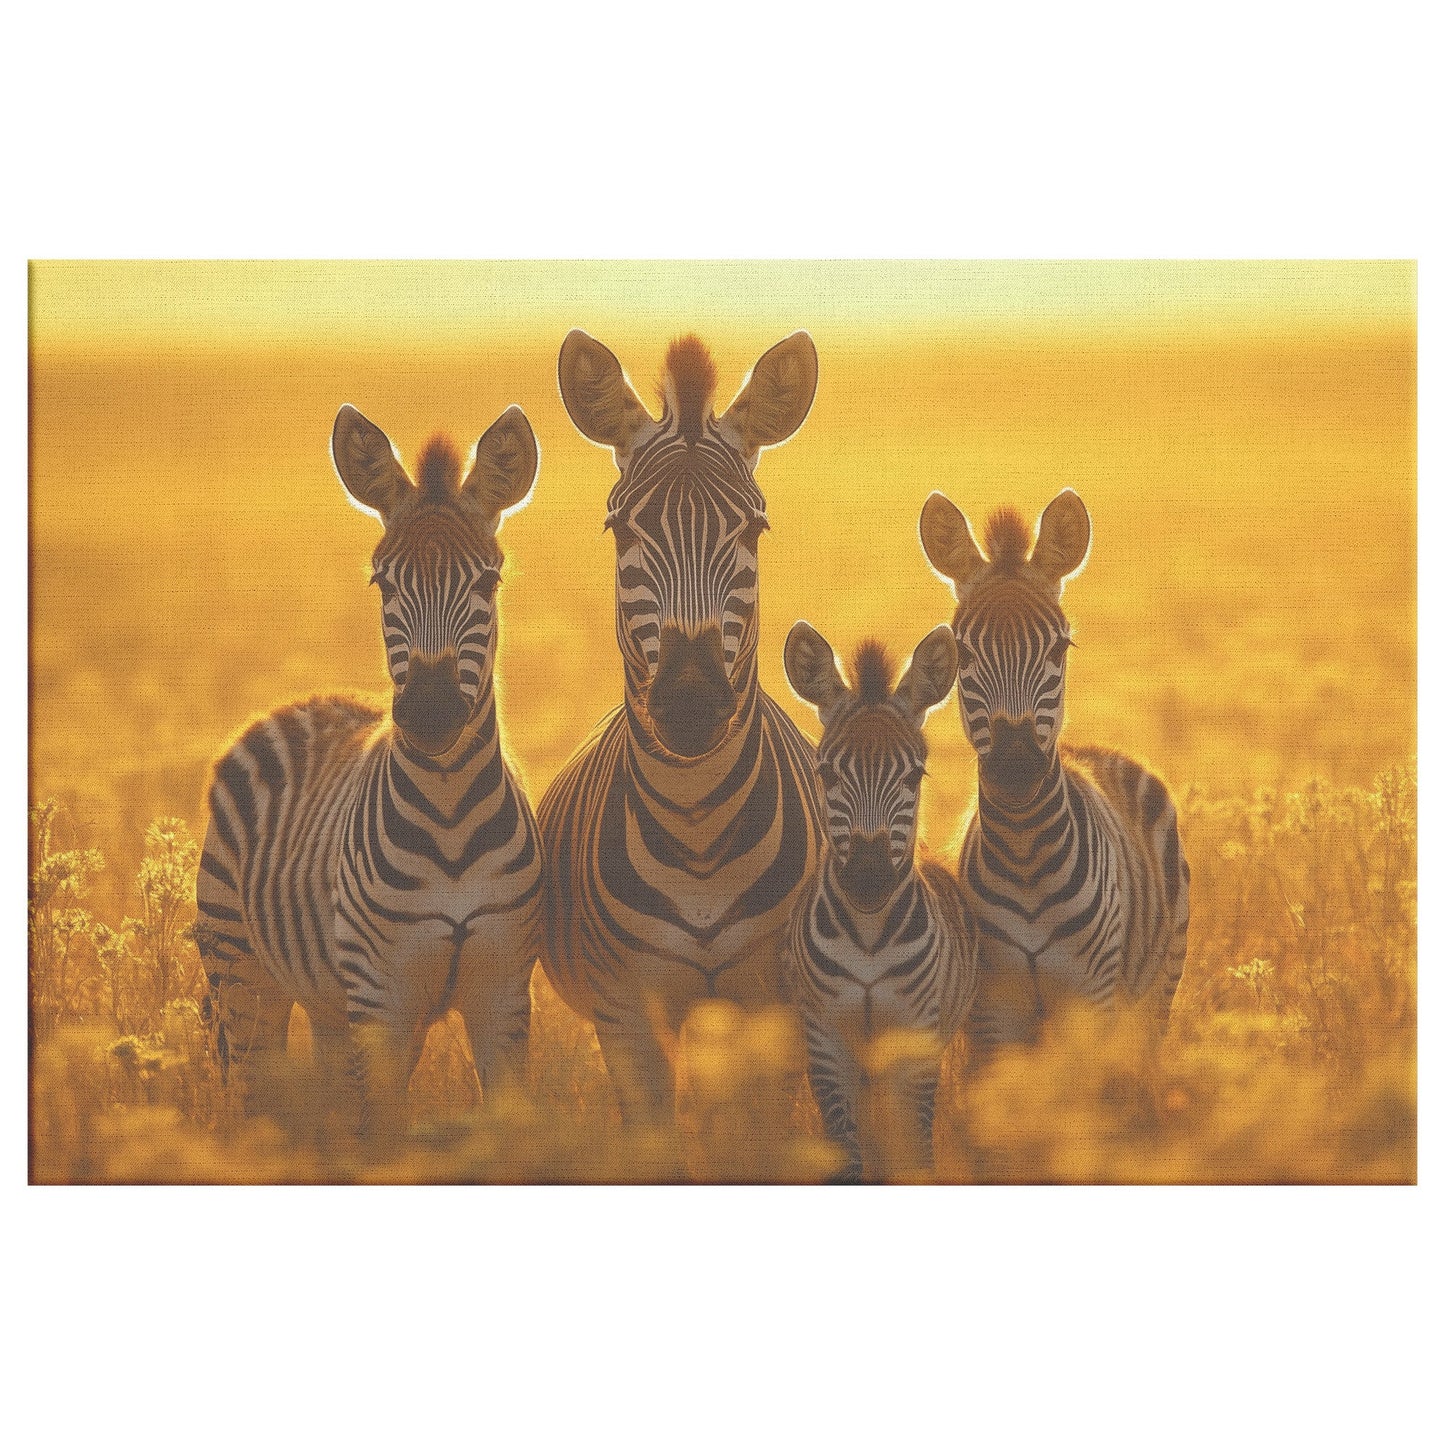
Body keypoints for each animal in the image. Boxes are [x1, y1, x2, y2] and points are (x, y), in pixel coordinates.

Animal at [196, 402, 543, 1134]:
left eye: (488, 580)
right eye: (383, 583)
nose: (432, 713)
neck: (449, 813)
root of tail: (307, 699)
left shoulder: (501, 991)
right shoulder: (382, 999)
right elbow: (382, 1131)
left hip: (328, 1001)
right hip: (241, 970)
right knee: (257, 1094)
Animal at [539, 330, 826, 1127]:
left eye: (753, 528)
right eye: (621, 529)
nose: (692, 701)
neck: (697, 831)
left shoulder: (774, 1008)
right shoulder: (624, 1011)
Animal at [783, 623, 979, 1182]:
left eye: (914, 776)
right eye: (826, 773)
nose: (868, 880)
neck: (869, 937)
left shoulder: (914, 1045)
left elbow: (913, 1154)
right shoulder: (826, 1043)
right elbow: (847, 1162)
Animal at [918, 487, 1190, 1059]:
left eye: (1060, 646)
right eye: (963, 651)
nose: (1016, 765)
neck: (1025, 853)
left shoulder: (1093, 999)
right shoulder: (993, 1012)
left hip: (1156, 991)